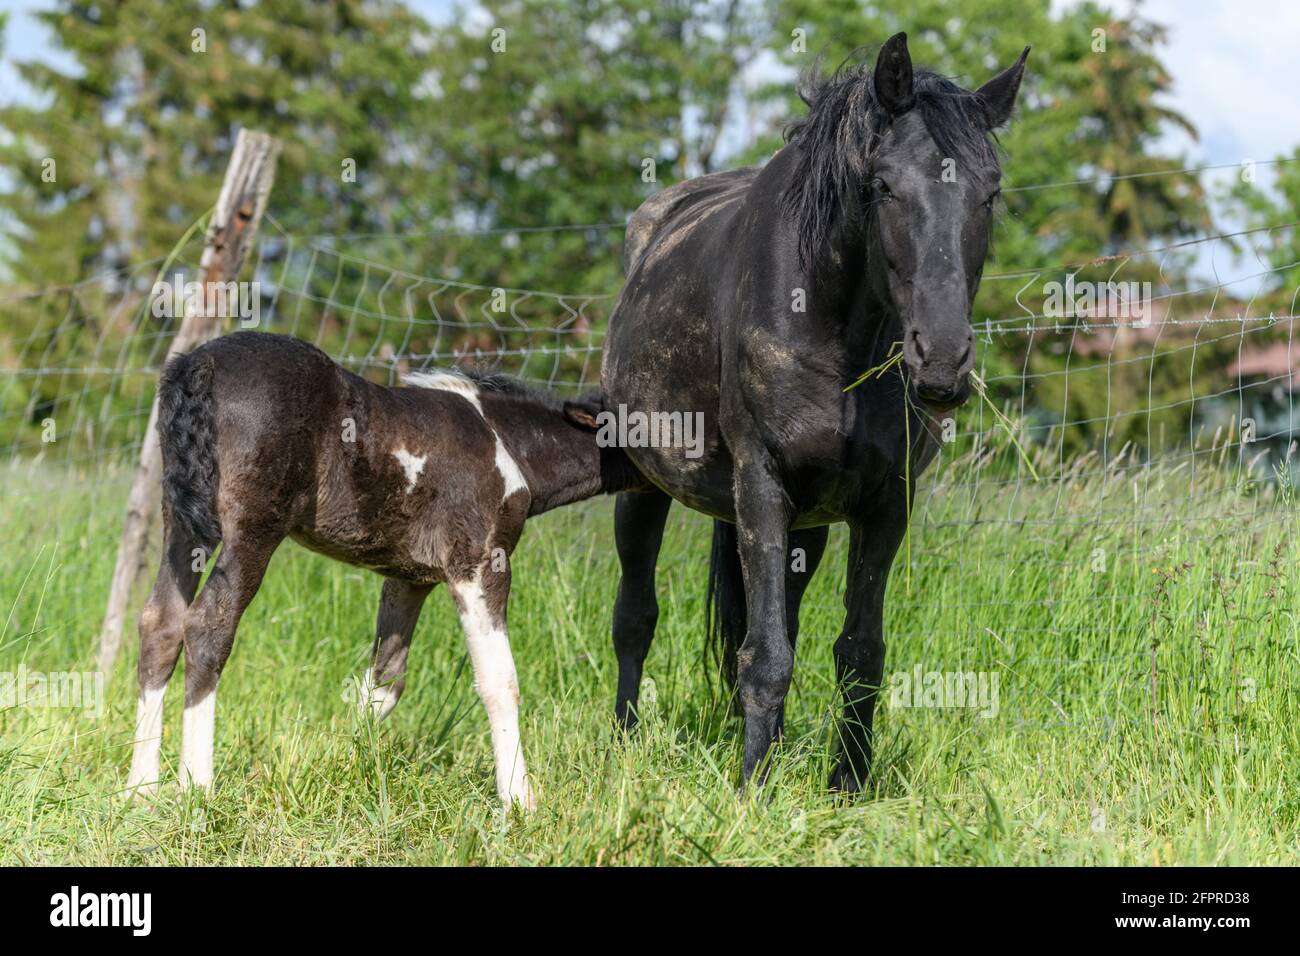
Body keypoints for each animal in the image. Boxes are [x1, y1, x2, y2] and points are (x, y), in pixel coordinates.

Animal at [126, 331, 640, 809]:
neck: (509, 445)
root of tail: (200, 364)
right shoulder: (478, 562)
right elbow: (499, 681)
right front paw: (519, 800)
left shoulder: (408, 580)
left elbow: (385, 681)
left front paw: (338, 762)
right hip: (253, 529)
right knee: (208, 625)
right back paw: (196, 788)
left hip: (181, 524)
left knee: (160, 624)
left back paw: (140, 789)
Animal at [602, 33, 1028, 790]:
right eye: (882, 185)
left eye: (991, 192)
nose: (942, 361)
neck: (833, 329)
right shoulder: (760, 483)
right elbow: (764, 655)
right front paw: (752, 790)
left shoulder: (886, 501)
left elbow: (858, 650)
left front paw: (846, 786)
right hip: (644, 484)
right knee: (635, 616)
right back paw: (625, 744)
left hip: (810, 525)